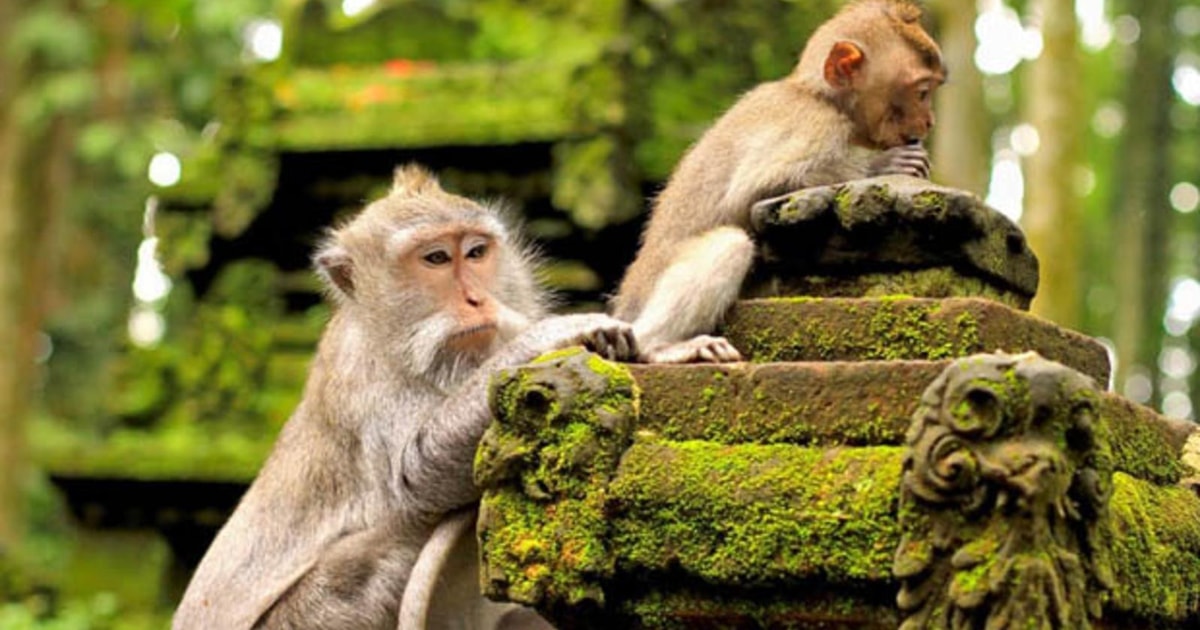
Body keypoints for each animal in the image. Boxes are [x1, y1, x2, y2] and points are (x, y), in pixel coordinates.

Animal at [173, 165, 636, 629]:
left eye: (475, 252)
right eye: (436, 259)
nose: (477, 299)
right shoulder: (364, 376)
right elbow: (415, 474)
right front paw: (552, 334)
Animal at [611, 0, 945, 364]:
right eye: (922, 92)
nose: (929, 121)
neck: (819, 95)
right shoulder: (815, 125)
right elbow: (749, 193)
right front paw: (881, 164)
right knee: (731, 243)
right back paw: (657, 346)